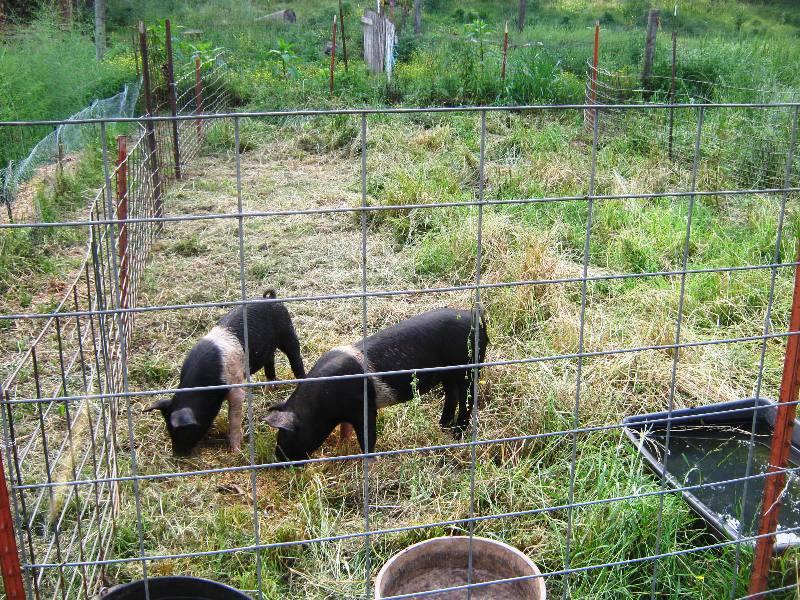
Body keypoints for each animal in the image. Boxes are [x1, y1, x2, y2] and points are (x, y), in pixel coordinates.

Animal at [144, 290, 306, 456]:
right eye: (168, 428)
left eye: (186, 431)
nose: (177, 455)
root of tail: (270, 298)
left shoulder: (235, 388)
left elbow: (234, 418)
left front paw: (235, 450)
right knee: (270, 361)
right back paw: (268, 391)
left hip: (287, 331)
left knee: (295, 357)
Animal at [265, 307, 488, 462]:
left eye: (285, 435)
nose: (278, 459)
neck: (319, 406)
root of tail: (474, 316)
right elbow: (345, 429)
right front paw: (342, 448)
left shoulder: (365, 407)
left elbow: (368, 436)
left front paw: (371, 460)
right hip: (448, 374)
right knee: (452, 395)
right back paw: (441, 426)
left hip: (468, 368)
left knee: (467, 399)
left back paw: (457, 434)